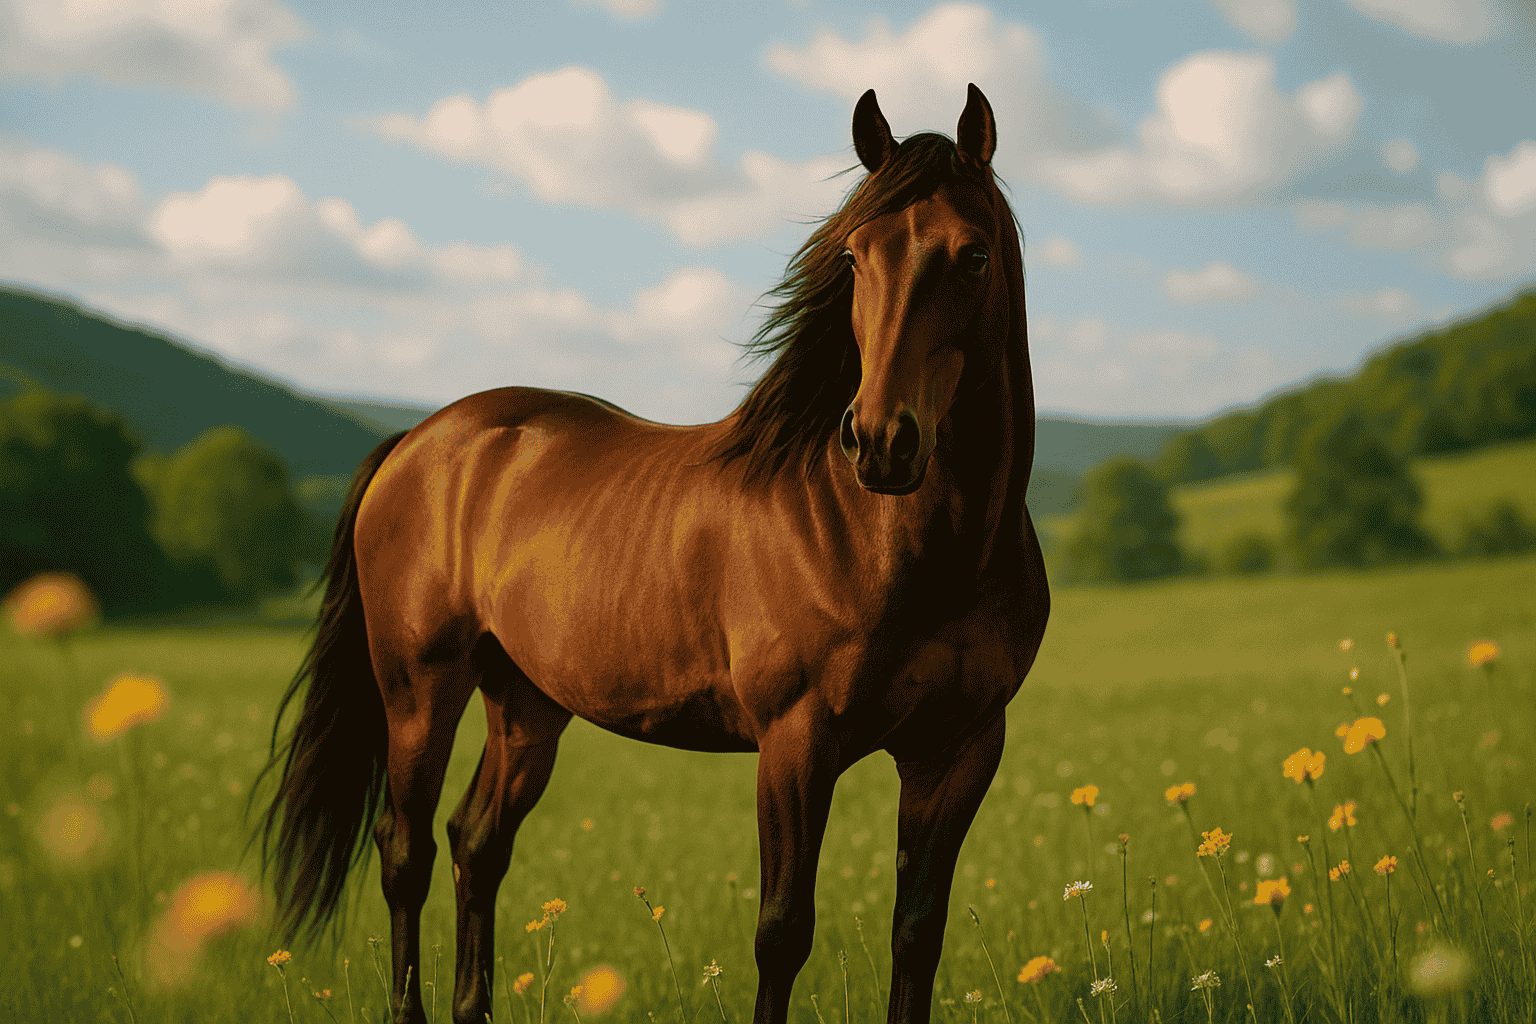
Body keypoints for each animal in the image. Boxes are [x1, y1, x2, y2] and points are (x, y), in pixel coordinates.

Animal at [255, 82, 1050, 1024]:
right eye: (855, 258)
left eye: (972, 257)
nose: (882, 443)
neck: (901, 548)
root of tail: (420, 440)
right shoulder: (796, 742)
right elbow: (783, 933)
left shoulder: (960, 751)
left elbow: (916, 936)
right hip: (418, 688)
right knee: (405, 848)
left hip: (525, 702)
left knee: (476, 843)